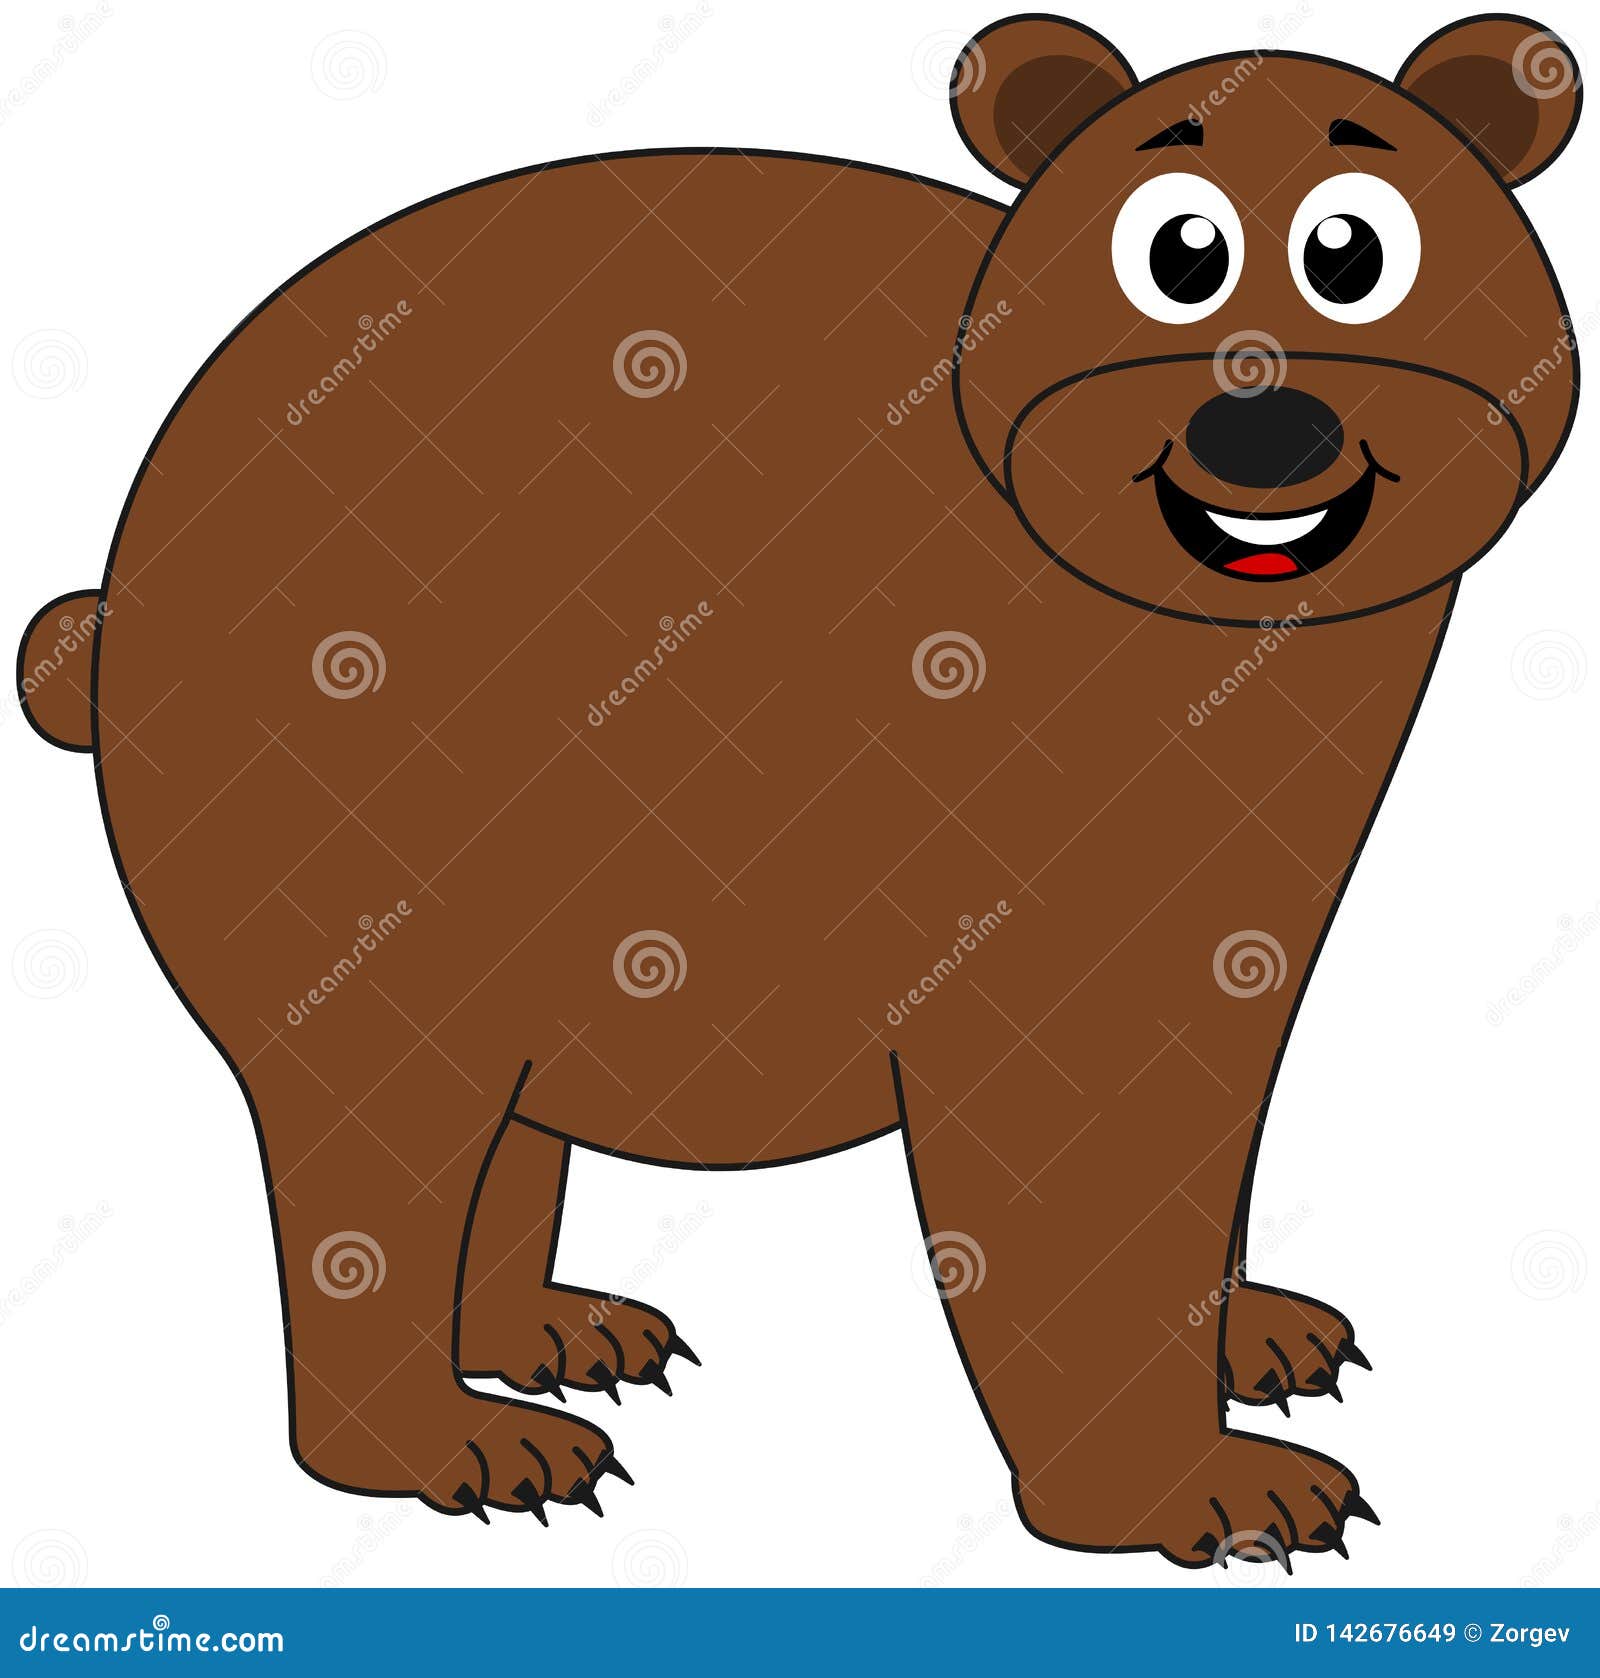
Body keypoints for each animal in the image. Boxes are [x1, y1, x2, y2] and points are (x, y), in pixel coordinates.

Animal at [15, 14, 1581, 1567]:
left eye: (1352, 252)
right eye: (1178, 252)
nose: (1264, 430)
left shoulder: (1252, 844)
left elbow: (1213, 1076)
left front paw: (1253, 1335)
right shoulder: (1012, 834)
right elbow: (1051, 1157)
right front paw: (1195, 1488)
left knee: (500, 1118)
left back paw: (543, 1333)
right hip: (340, 814)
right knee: (383, 1115)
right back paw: (454, 1439)